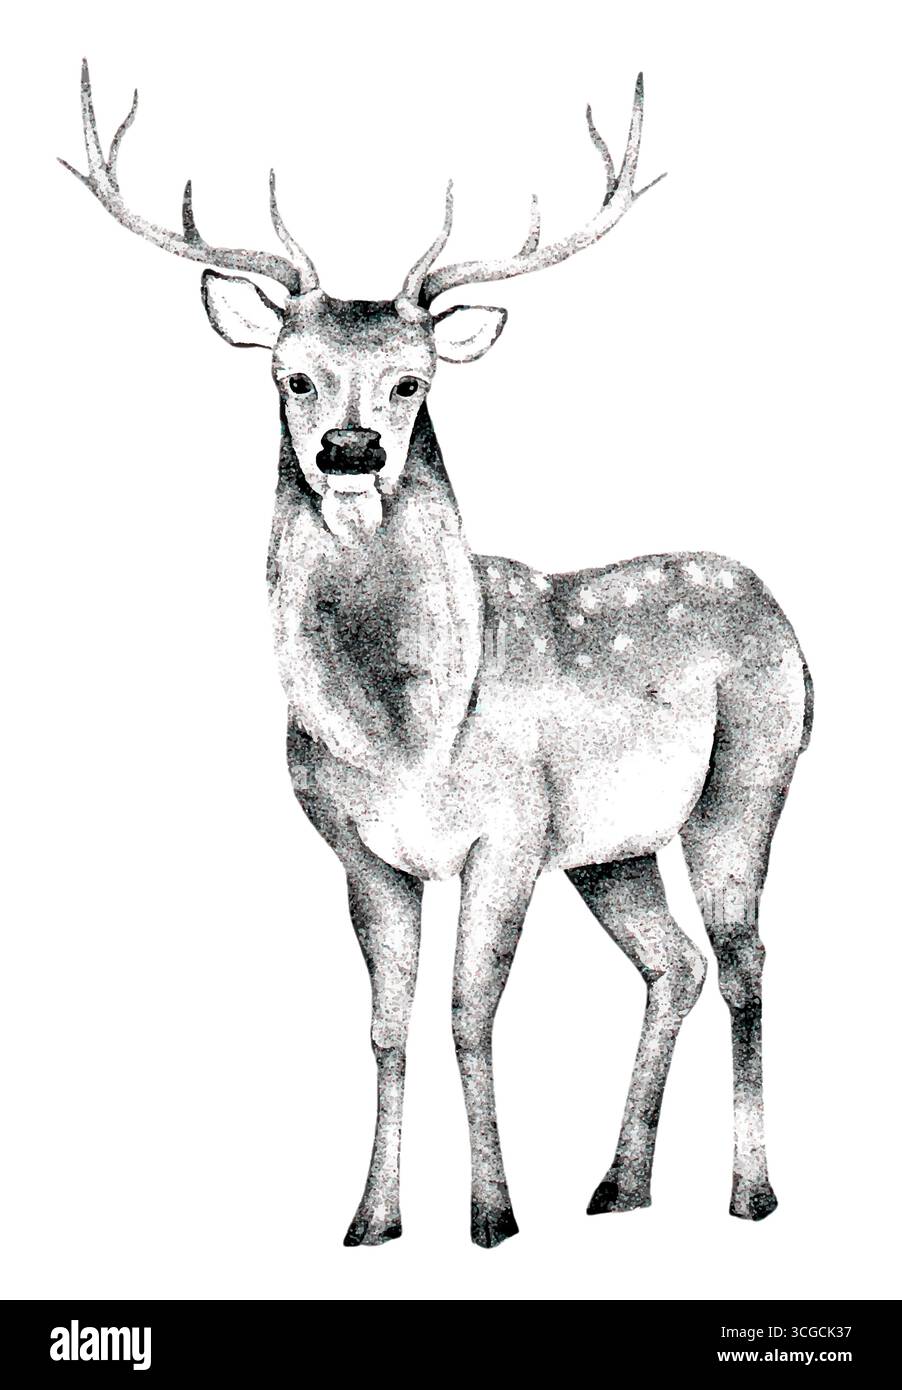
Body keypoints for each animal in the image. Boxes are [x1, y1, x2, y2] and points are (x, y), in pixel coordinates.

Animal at [61, 61, 813, 1248]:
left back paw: (748, 1193)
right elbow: (384, 1023)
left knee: (744, 960)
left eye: (412, 381)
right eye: (290, 375)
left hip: (744, 786)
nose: (351, 451)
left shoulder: (507, 831)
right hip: (610, 848)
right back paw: (620, 1186)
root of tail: (784, 619)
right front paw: (372, 1218)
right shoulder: (362, 853)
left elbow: (469, 1012)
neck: (408, 734)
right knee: (675, 964)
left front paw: (493, 1215)